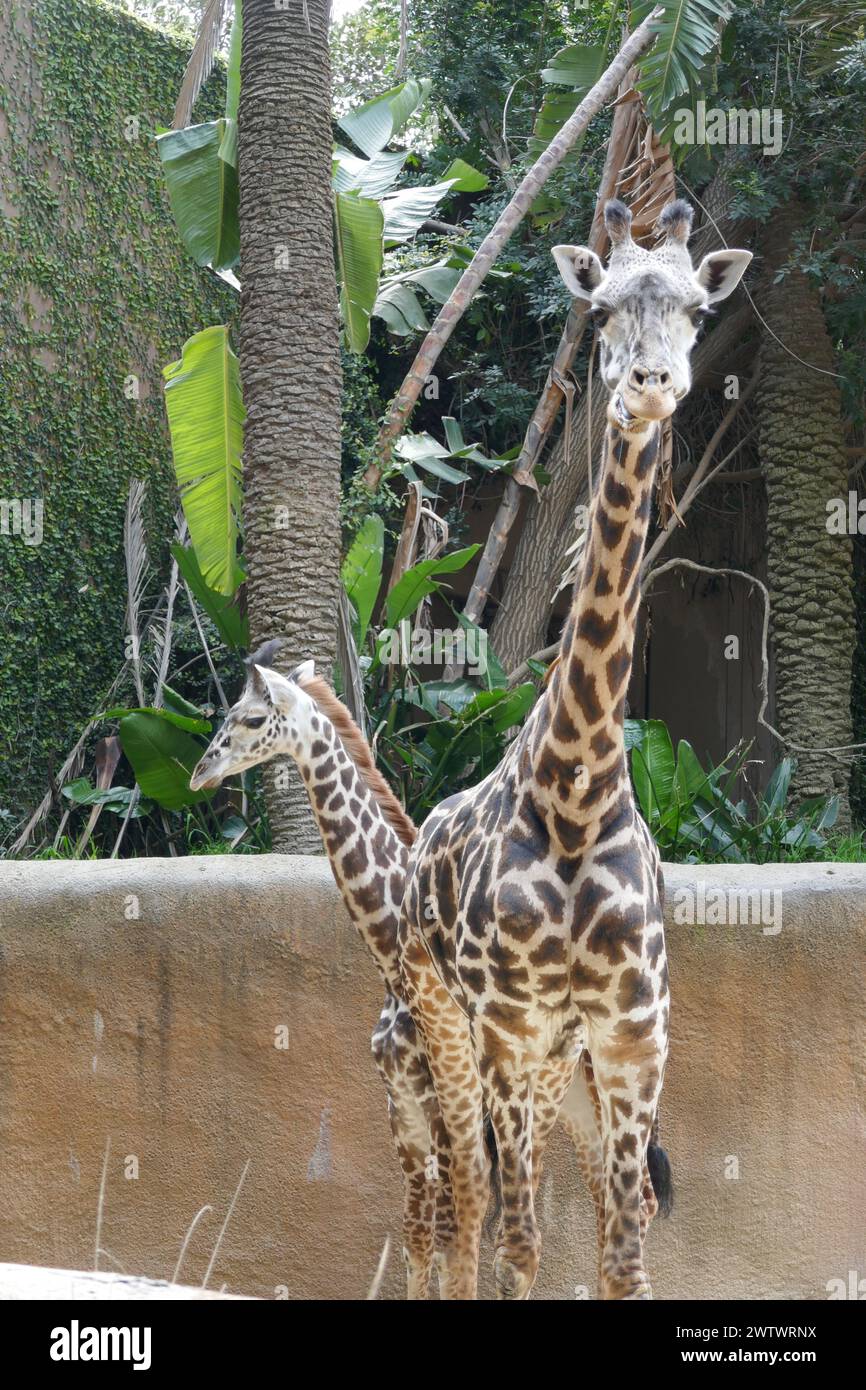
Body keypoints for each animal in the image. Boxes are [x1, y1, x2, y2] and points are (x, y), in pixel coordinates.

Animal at [396, 197, 752, 1300]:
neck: (578, 788)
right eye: (598, 314)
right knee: (464, 1205)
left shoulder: (632, 1034)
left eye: (692, 310)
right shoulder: (511, 1028)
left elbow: (624, 1250)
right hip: (445, 1026)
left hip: (564, 1059)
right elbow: (519, 1242)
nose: (650, 386)